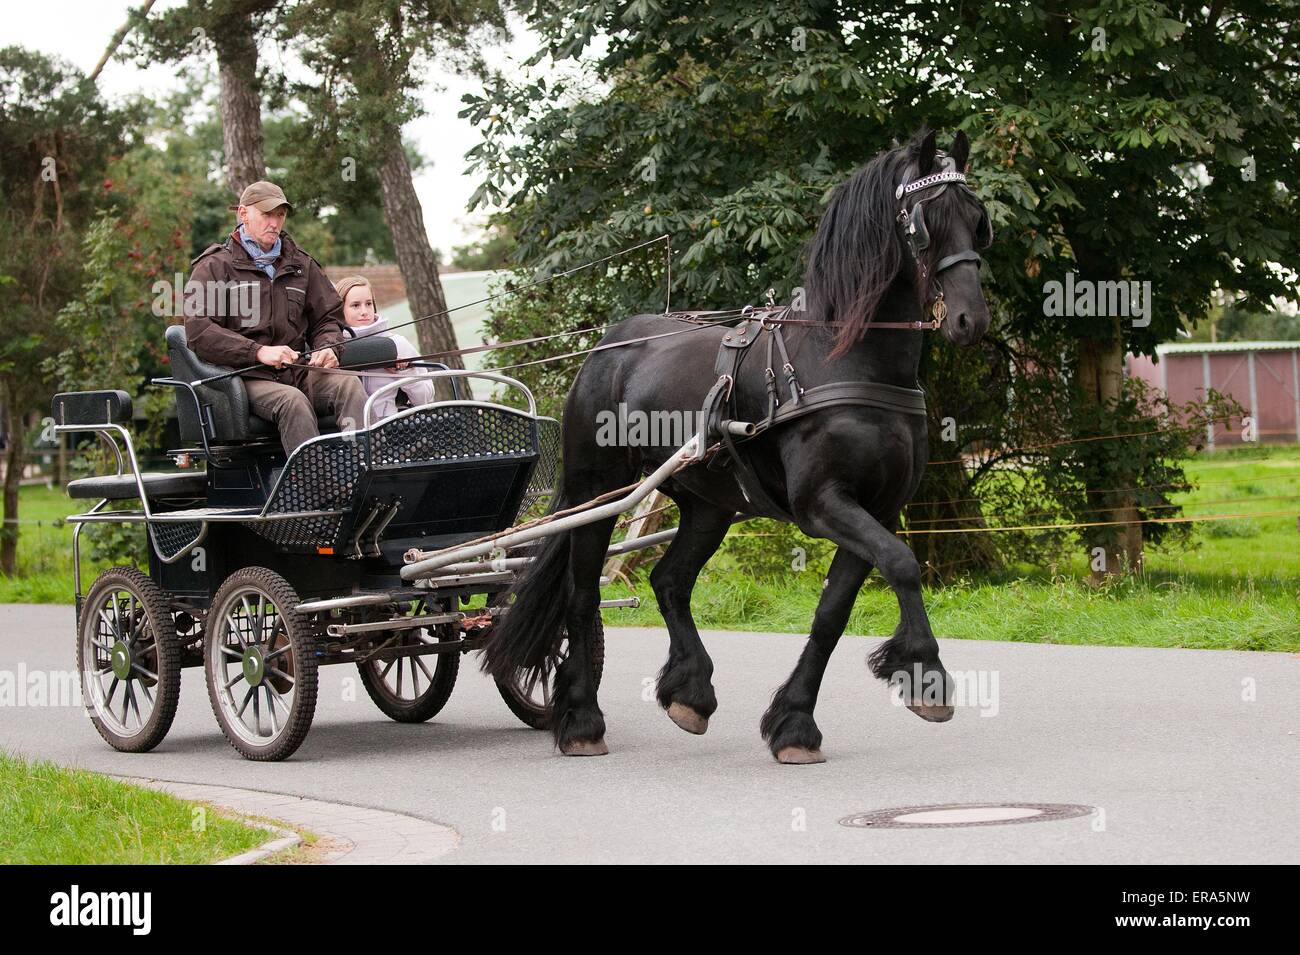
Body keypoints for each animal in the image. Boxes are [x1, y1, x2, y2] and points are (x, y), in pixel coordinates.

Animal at [481, 128, 994, 762]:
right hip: (595, 489)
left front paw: (795, 723)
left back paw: (691, 692)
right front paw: (926, 675)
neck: (844, 356)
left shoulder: (877, 507)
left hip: (709, 503)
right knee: (582, 593)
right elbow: (901, 563)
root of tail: (610, 344)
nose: (971, 319)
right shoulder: (822, 503)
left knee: (669, 582)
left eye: (976, 219)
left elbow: (833, 612)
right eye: (924, 221)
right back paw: (581, 718)